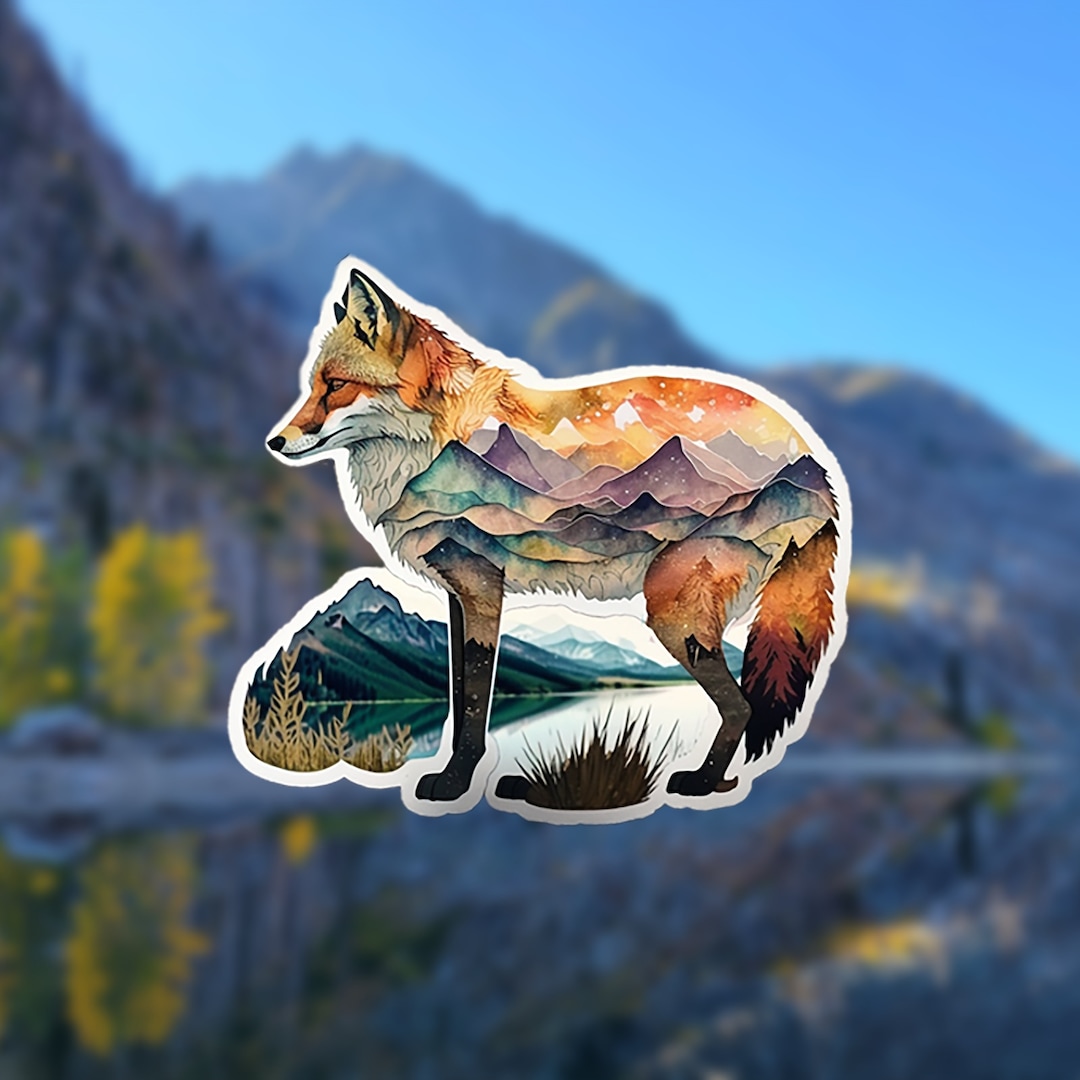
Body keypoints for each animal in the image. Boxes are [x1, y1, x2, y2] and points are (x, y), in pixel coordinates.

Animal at [264, 259, 851, 809]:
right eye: (312, 385)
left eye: (335, 386)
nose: (274, 442)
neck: (435, 440)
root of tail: (812, 461)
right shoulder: (458, 591)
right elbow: (458, 694)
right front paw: (456, 777)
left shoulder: (482, 588)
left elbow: (473, 705)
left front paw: (455, 784)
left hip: (672, 611)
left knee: (743, 705)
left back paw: (704, 783)